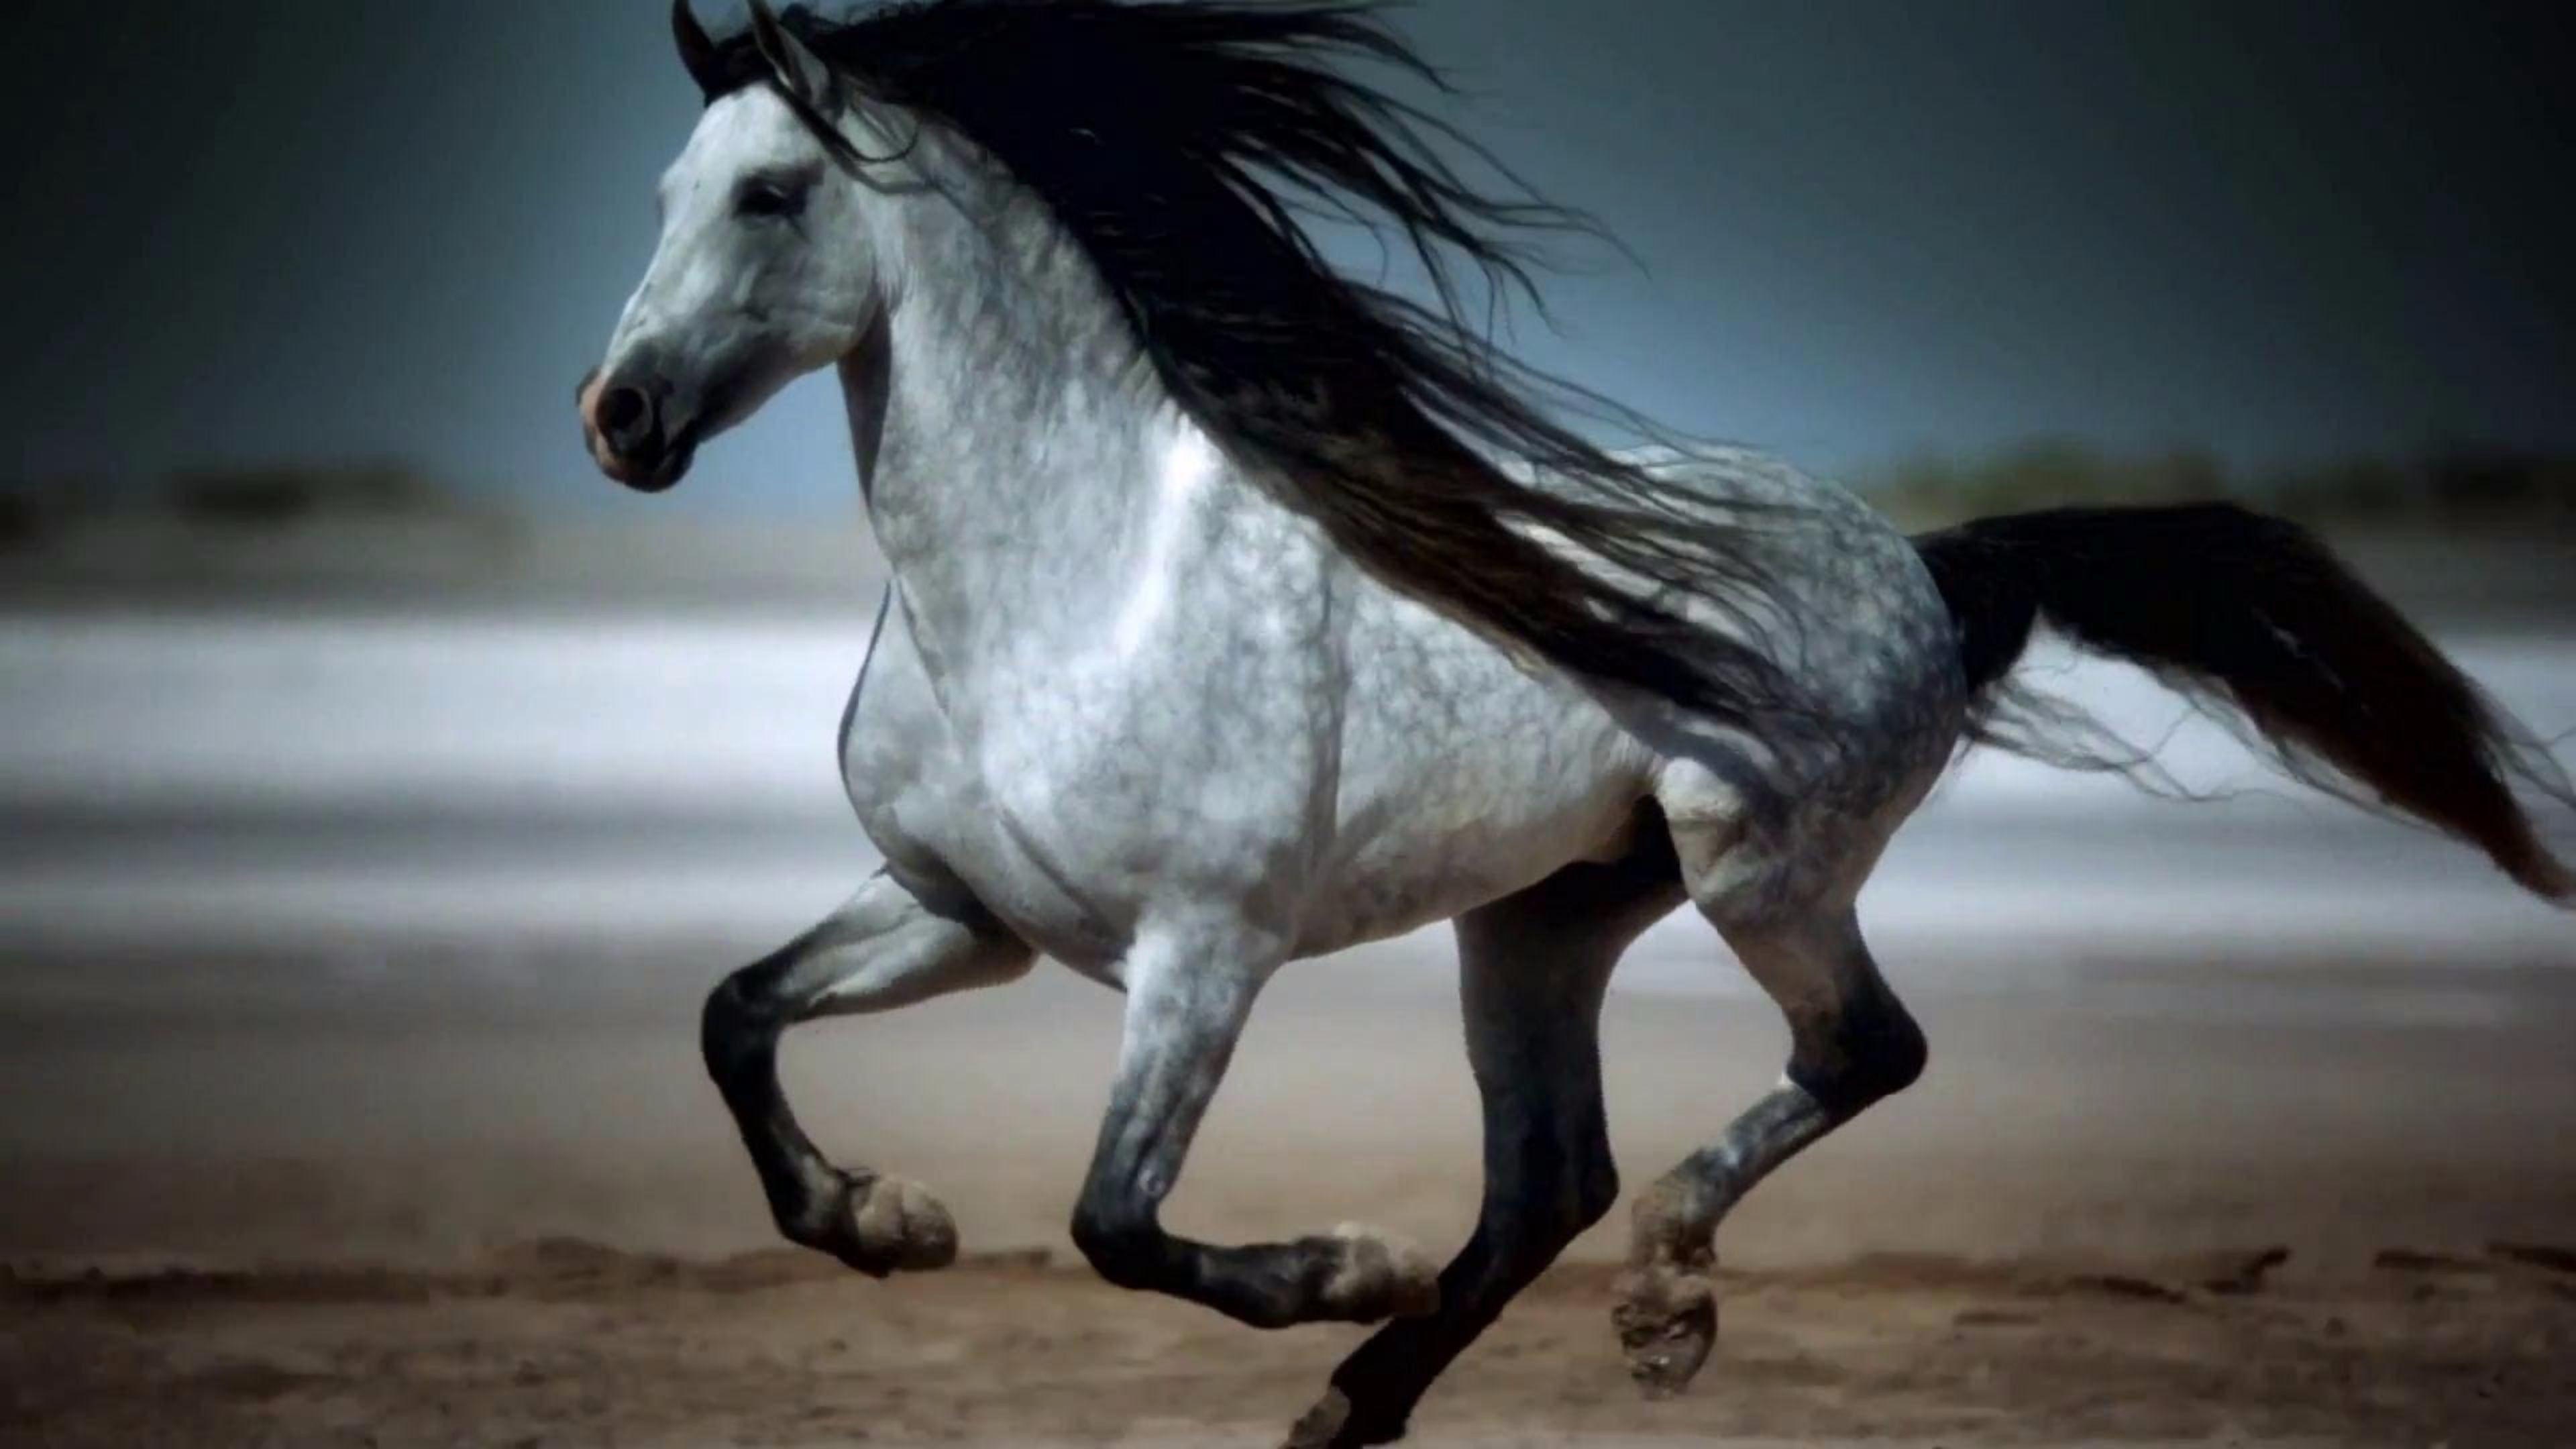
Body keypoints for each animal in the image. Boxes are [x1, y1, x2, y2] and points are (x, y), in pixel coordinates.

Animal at [575, 3, 2574, 1444]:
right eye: (659, 191)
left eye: (770, 193)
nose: (618, 418)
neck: (1071, 583)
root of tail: (1920, 566)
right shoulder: (960, 916)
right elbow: (732, 1019)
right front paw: (887, 1221)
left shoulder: (1201, 954)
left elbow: (1114, 1220)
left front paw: (1342, 1261)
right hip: (1540, 920)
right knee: (1551, 1174)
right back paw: (1359, 1406)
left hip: (1753, 867)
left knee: (1859, 1057)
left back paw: (1652, 1295)